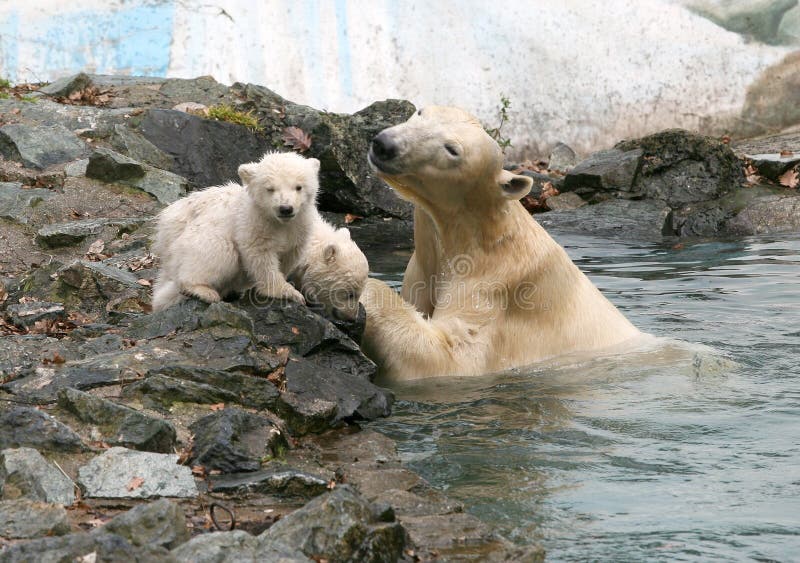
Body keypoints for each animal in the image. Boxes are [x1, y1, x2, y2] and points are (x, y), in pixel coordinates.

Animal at [151, 151, 320, 311]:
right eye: (270, 188)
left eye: (298, 187)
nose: (285, 208)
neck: (278, 222)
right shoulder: (253, 222)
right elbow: (260, 255)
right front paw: (287, 292)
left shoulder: (299, 226)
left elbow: (289, 255)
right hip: (195, 240)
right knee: (220, 252)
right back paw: (202, 290)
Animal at [360, 106, 641, 381]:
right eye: (420, 113)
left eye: (452, 149)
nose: (385, 144)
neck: (478, 238)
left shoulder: (498, 290)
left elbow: (452, 356)